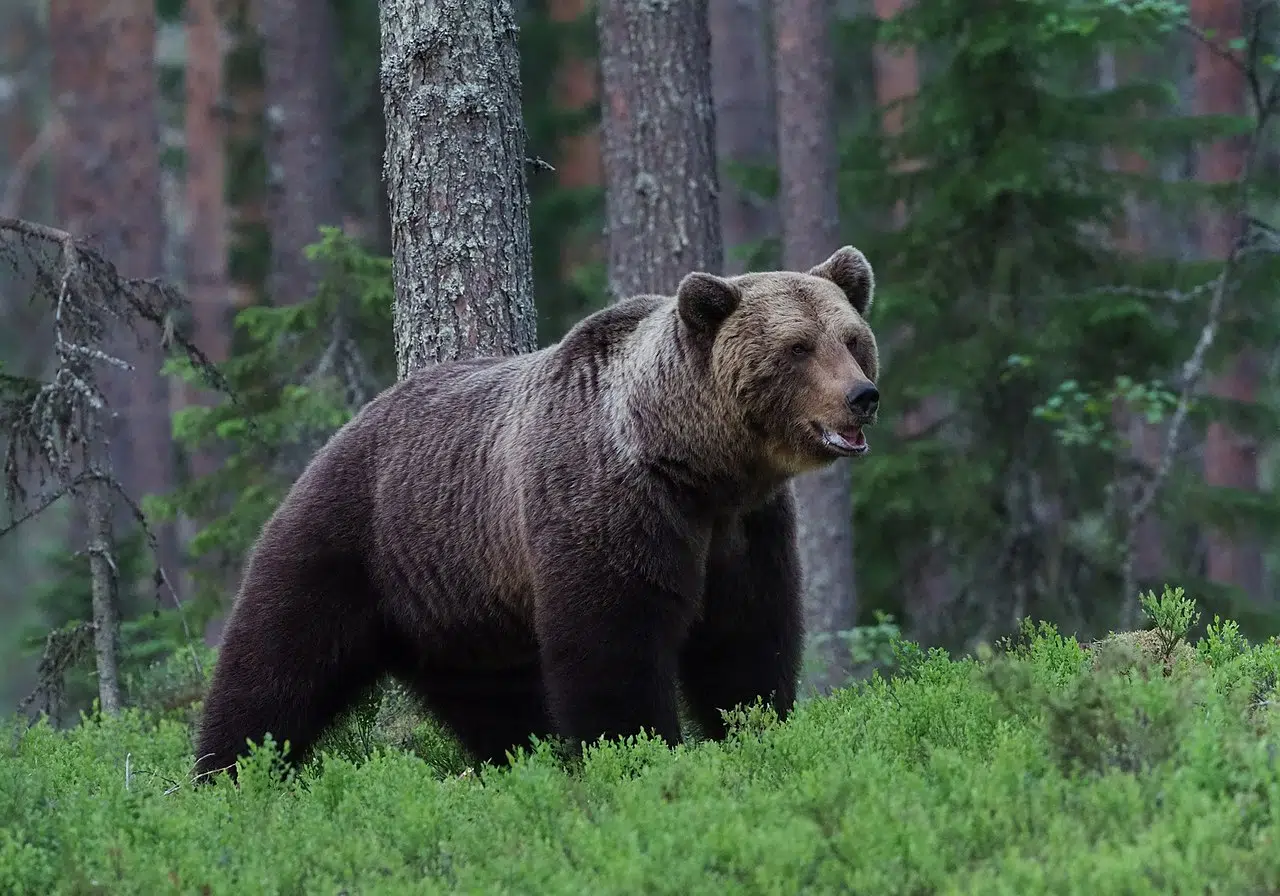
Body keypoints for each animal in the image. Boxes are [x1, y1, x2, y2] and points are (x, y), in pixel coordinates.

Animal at [192, 245, 882, 781]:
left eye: (852, 340)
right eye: (797, 347)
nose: (862, 396)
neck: (696, 466)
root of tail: (343, 430)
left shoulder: (746, 529)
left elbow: (747, 640)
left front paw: (754, 728)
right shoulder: (611, 506)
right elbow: (614, 646)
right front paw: (638, 752)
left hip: (456, 606)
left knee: (494, 701)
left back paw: (519, 760)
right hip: (352, 539)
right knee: (277, 663)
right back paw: (227, 774)